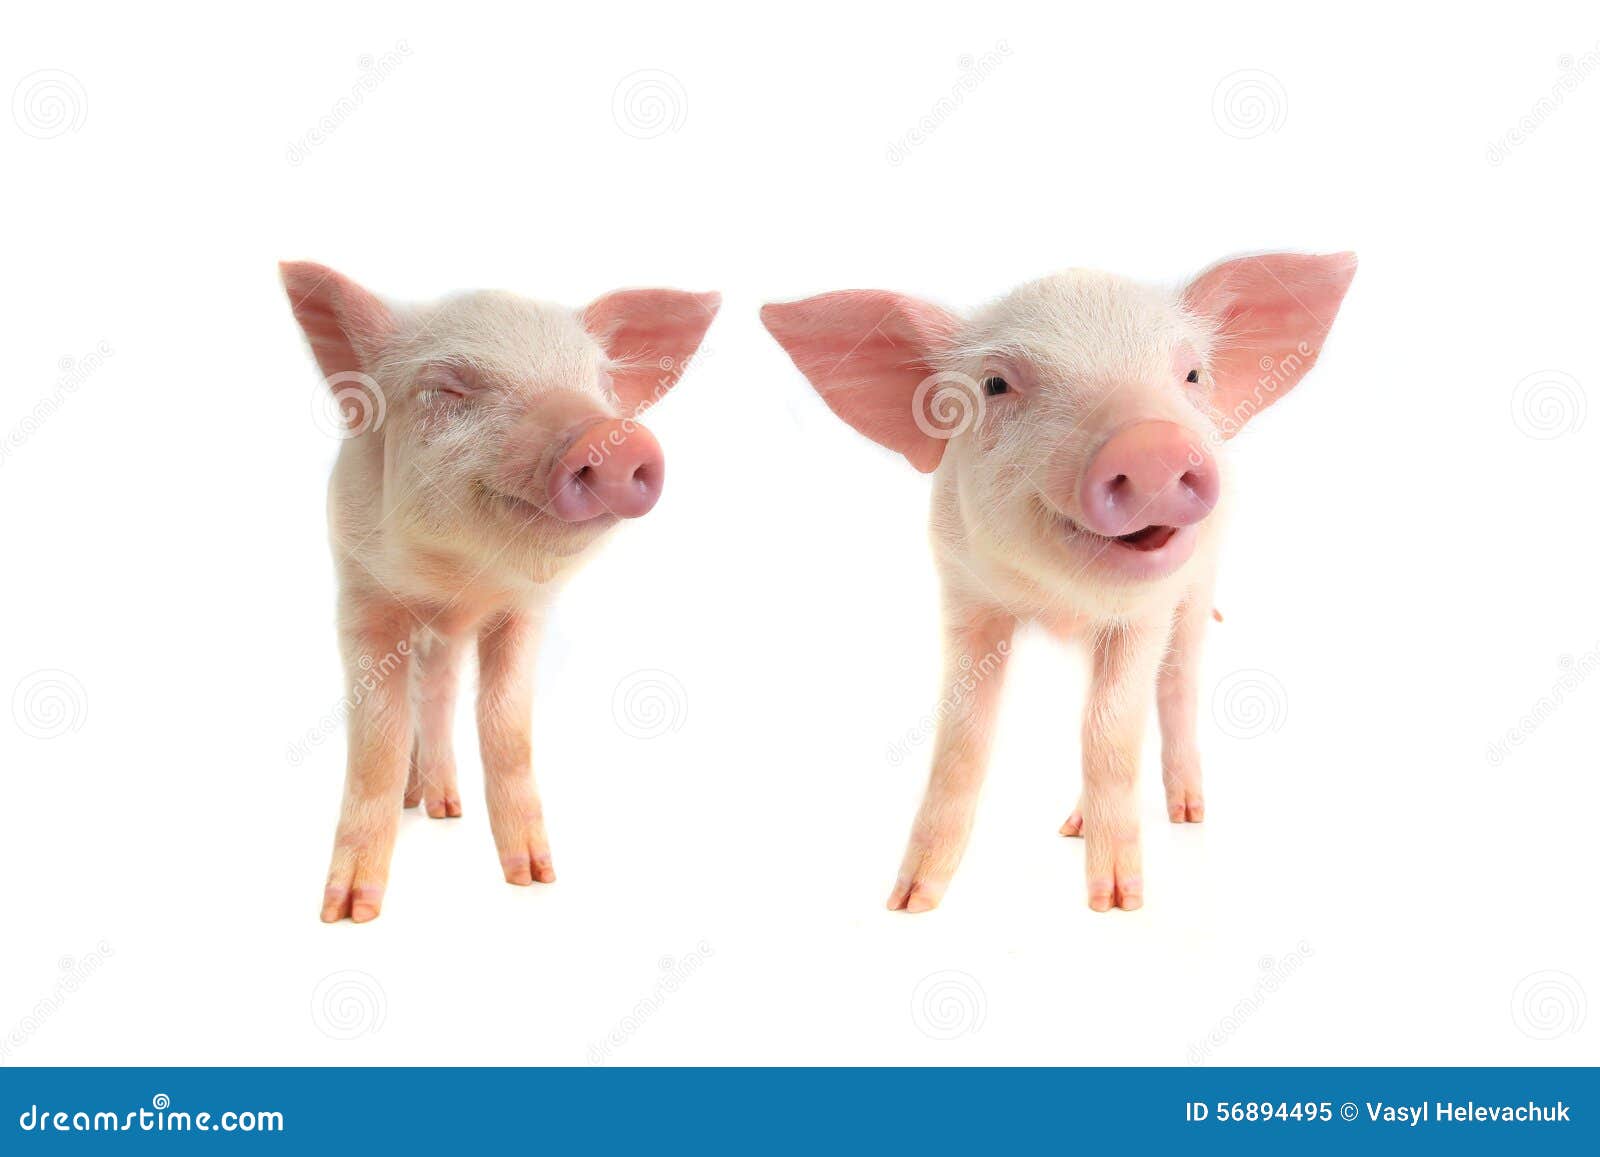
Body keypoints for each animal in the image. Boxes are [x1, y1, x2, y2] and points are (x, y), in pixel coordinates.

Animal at [281, 262, 719, 922]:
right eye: (450, 387)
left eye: (598, 383)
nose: (615, 436)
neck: (457, 581)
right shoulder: (361, 595)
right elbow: (377, 740)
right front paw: (348, 912)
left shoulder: (525, 612)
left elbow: (506, 727)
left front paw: (534, 879)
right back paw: (417, 804)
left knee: (437, 698)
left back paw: (443, 807)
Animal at [762, 252, 1354, 912]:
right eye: (996, 385)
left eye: (1192, 373)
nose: (1150, 440)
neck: (1058, 598)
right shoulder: (963, 592)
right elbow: (963, 739)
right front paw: (910, 902)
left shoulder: (1147, 610)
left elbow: (1109, 728)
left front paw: (1116, 903)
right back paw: (1073, 826)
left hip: (1203, 581)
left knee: (1176, 685)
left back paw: (1187, 814)